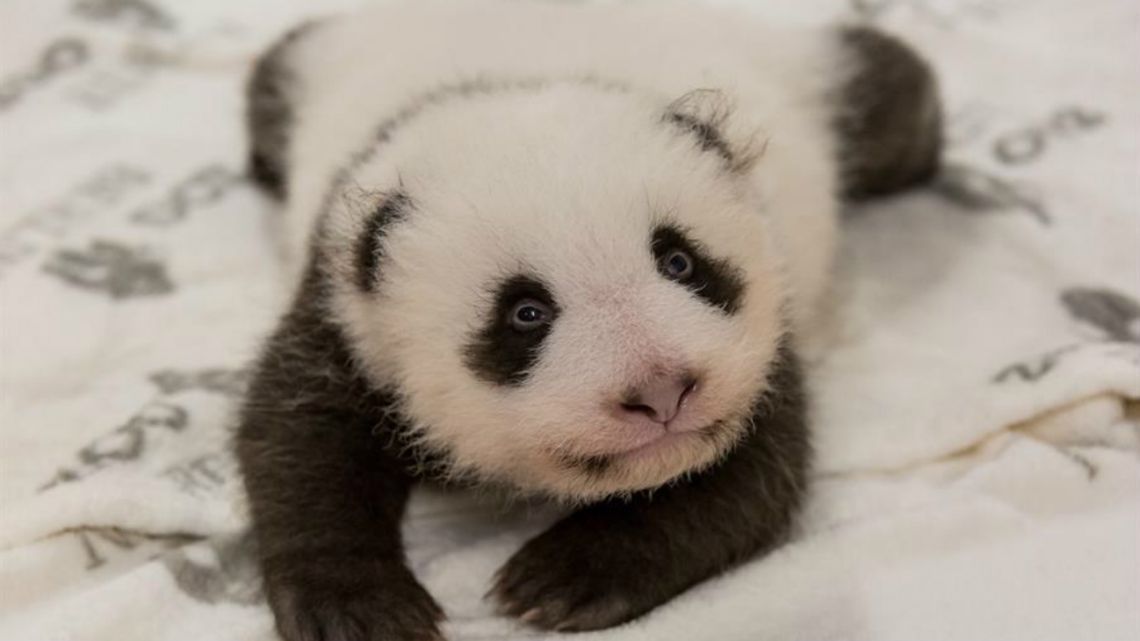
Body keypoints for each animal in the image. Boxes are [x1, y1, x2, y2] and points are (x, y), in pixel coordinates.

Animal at [234, 3, 941, 640]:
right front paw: (357, 608)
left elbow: (753, 472)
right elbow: (297, 440)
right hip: (308, 61)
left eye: (679, 261)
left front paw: (565, 576)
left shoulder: (759, 340)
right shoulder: (347, 305)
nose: (663, 393)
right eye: (526, 314)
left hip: (818, 75)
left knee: (894, 94)